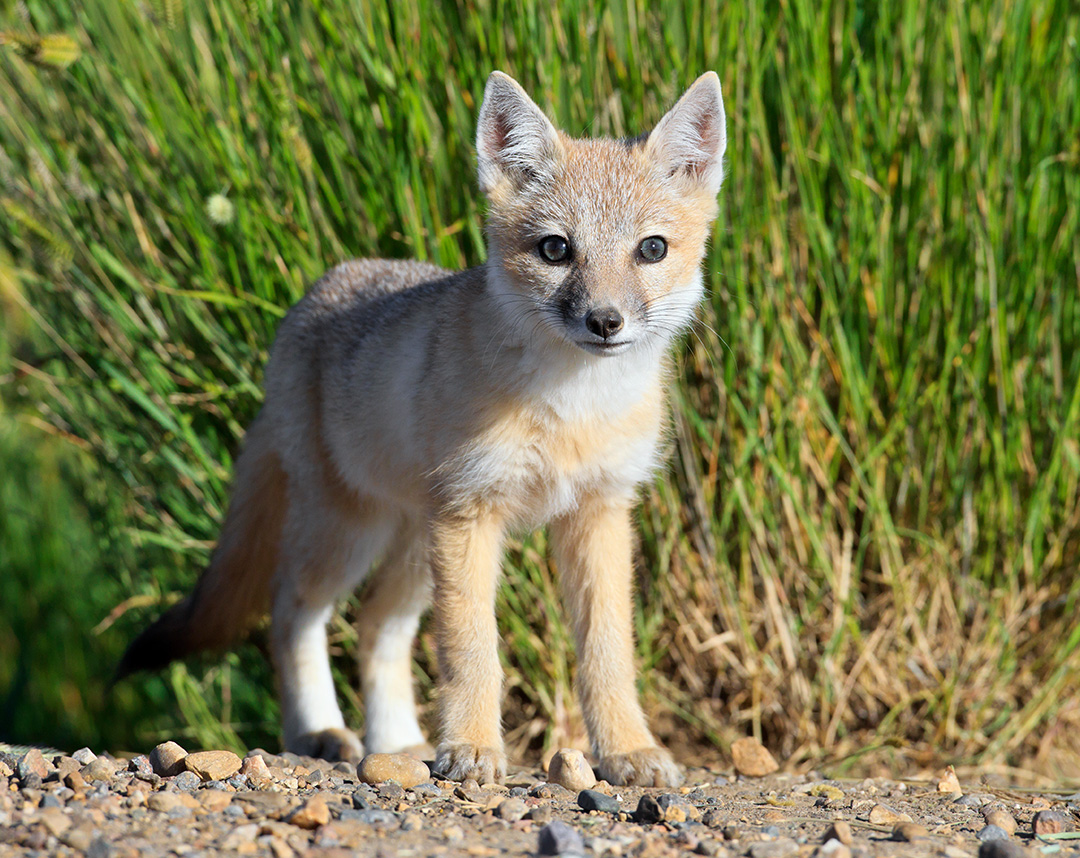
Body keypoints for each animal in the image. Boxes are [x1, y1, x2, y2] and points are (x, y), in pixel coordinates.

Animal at [119, 70, 727, 787]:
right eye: (556, 250)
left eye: (651, 249)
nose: (605, 321)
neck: (571, 408)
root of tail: (318, 290)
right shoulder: (470, 515)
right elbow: (472, 651)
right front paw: (472, 747)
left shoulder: (599, 512)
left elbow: (608, 653)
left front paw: (627, 749)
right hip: (351, 534)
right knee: (290, 610)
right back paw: (319, 731)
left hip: (412, 545)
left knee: (377, 624)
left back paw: (397, 741)